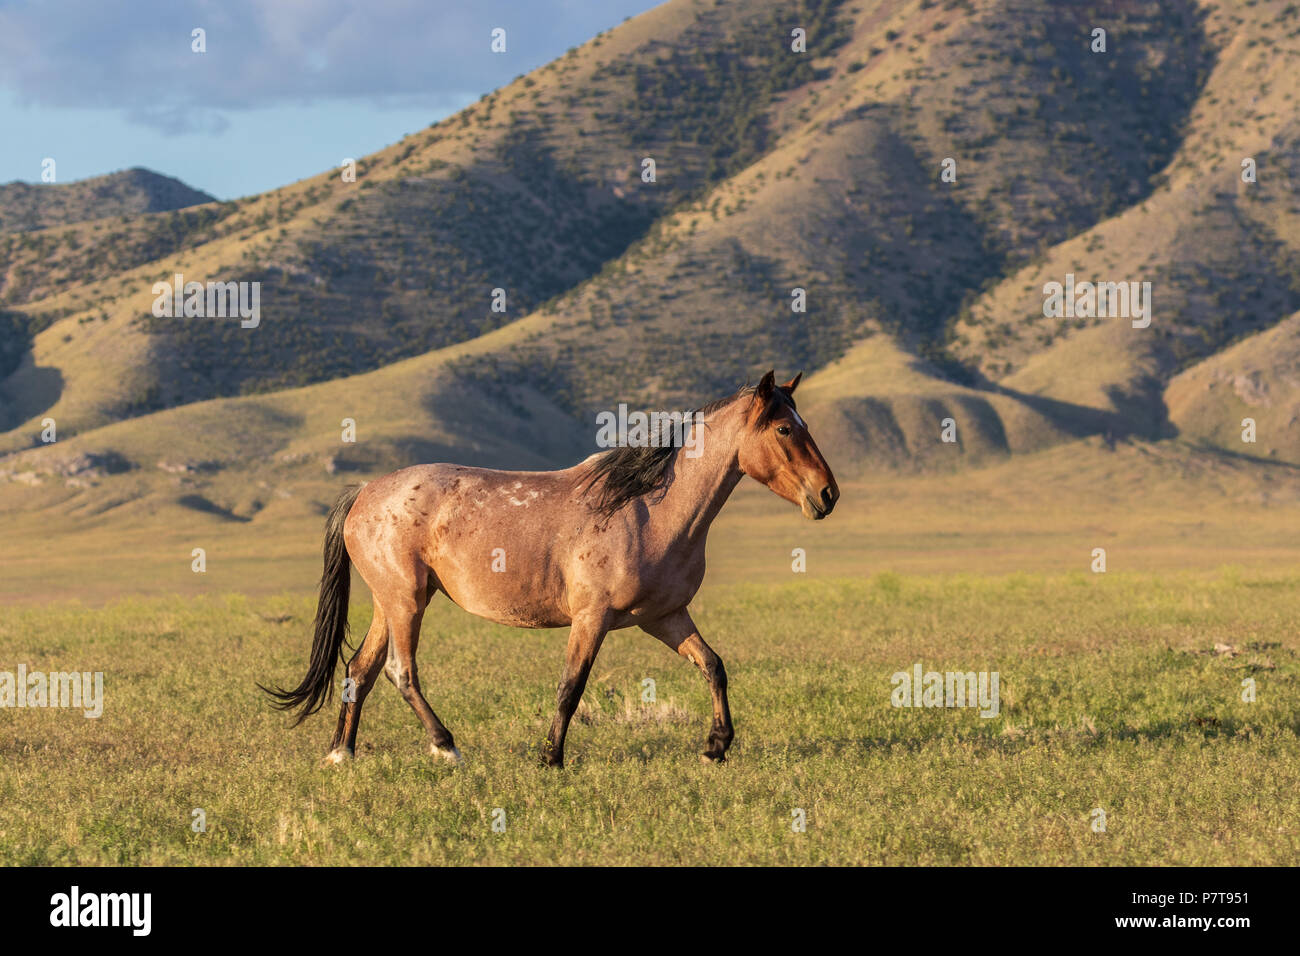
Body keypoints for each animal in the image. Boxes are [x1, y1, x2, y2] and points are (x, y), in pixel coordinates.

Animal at [261, 370, 839, 768]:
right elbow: (571, 686)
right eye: (784, 428)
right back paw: (446, 747)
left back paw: (341, 754)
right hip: (404, 602)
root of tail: (363, 493)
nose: (828, 494)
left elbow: (713, 666)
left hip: (394, 601)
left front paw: (716, 747)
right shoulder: (592, 619)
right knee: (400, 671)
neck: (645, 510)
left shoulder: (665, 617)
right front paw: (550, 758)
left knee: (359, 669)